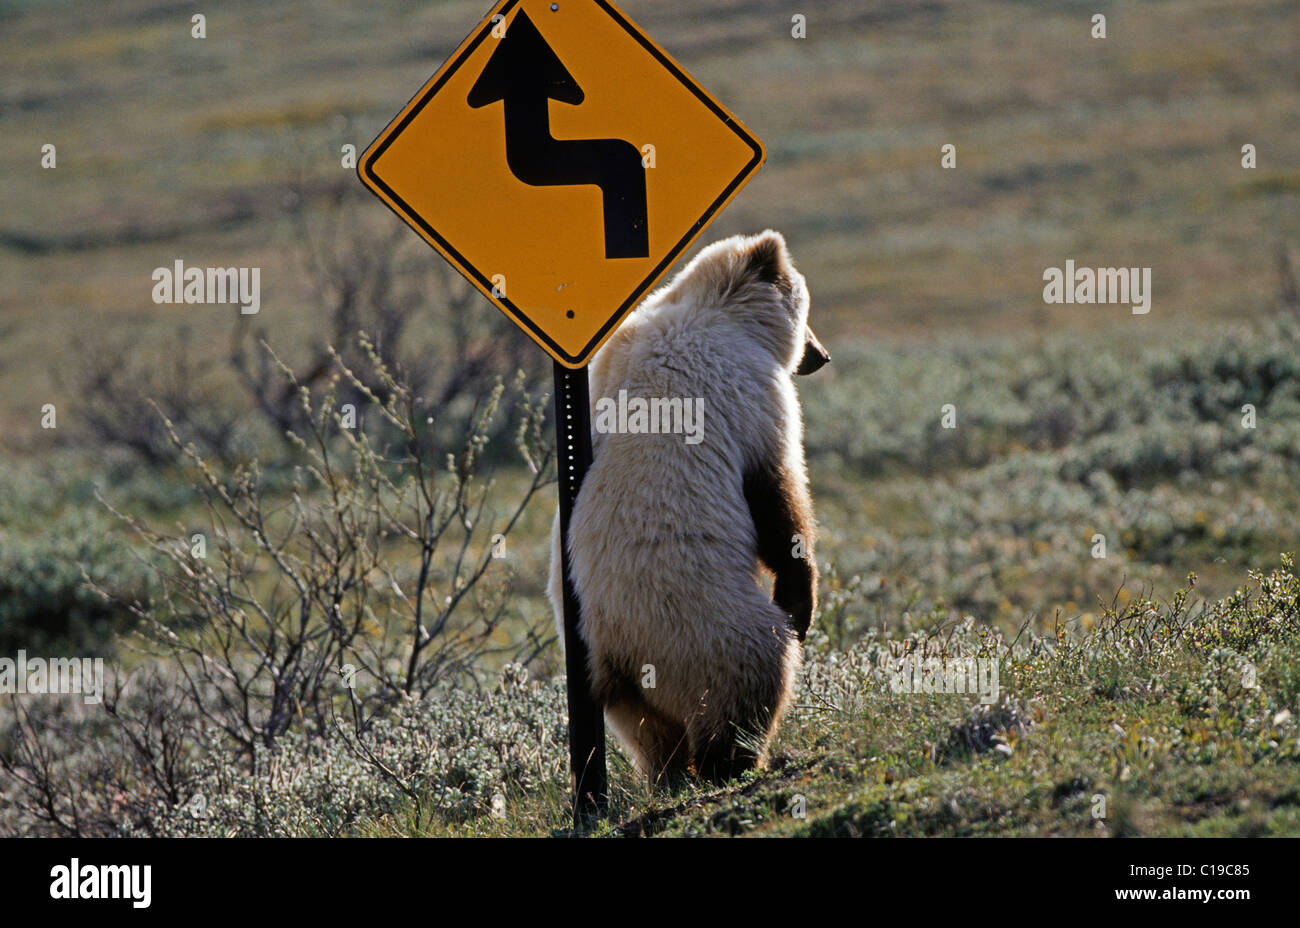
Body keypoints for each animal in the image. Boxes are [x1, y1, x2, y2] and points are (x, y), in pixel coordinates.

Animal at [548, 229, 828, 787]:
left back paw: (671, 774)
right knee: (751, 670)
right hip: (694, 622)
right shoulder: (751, 397)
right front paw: (800, 599)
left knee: (651, 734)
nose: (821, 354)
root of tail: (612, 653)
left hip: (614, 681)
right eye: (808, 306)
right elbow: (777, 498)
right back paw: (738, 759)